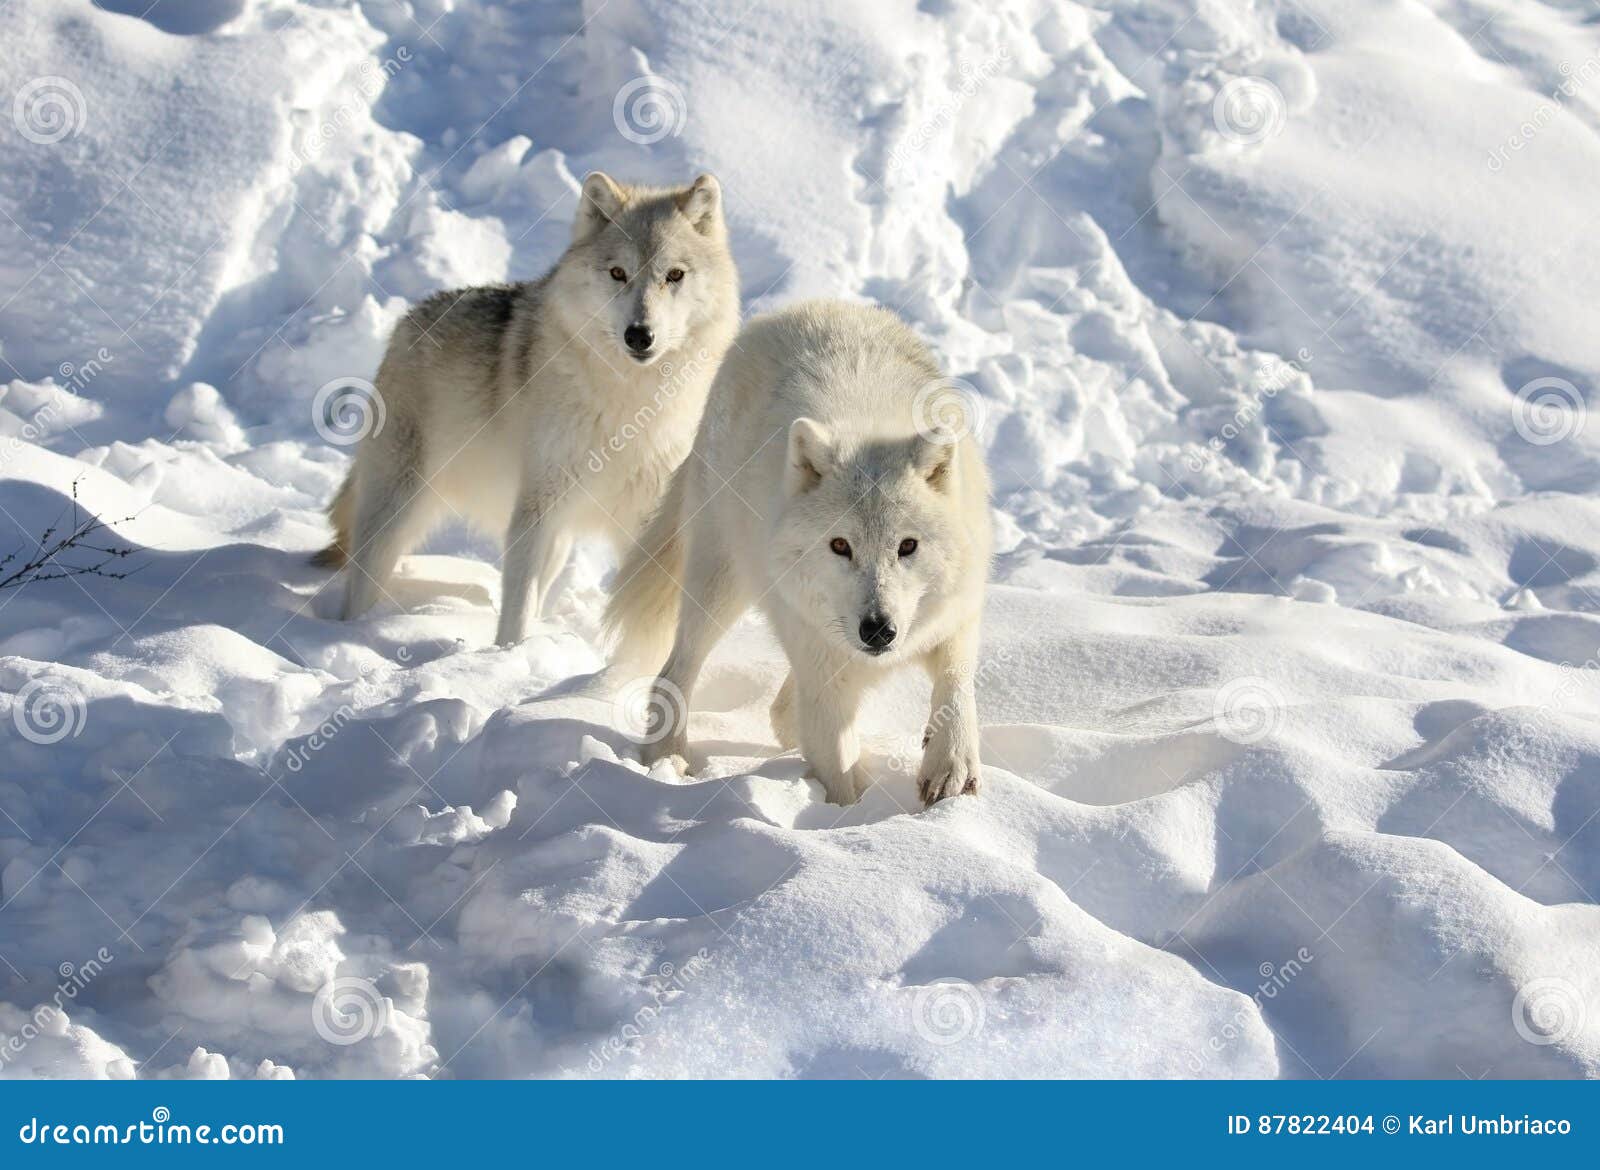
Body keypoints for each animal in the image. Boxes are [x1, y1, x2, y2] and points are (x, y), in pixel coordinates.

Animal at [315, 171, 740, 645]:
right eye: (618, 273)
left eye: (674, 275)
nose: (639, 335)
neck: (630, 403)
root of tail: (409, 320)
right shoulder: (536, 512)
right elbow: (515, 611)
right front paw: (507, 655)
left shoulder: (645, 522)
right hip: (397, 515)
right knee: (360, 584)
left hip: (555, 542)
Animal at [604, 300, 992, 806]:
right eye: (840, 545)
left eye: (907, 546)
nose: (878, 630)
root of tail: (797, 308)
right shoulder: (824, 668)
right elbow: (839, 777)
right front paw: (843, 818)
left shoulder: (954, 615)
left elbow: (956, 685)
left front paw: (951, 767)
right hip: (722, 588)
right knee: (675, 671)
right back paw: (665, 760)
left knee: (784, 708)